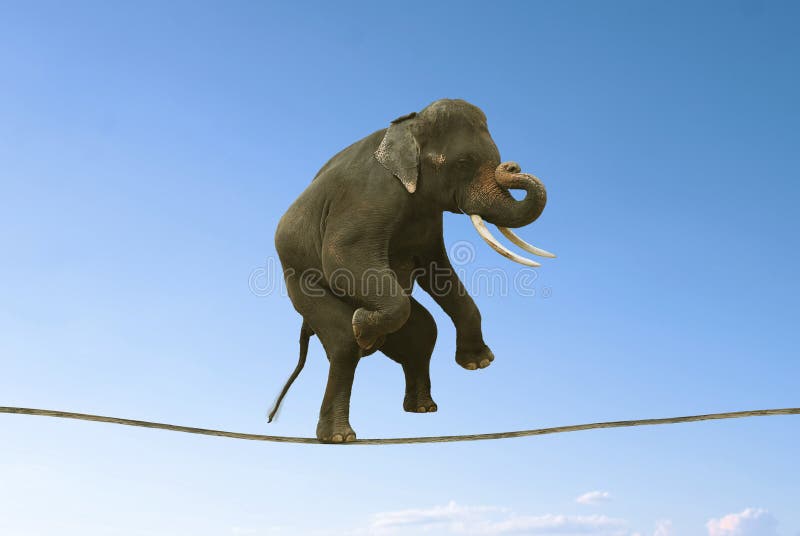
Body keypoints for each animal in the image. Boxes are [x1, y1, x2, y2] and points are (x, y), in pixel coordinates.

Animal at [269, 99, 554, 442]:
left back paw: (422, 408)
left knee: (424, 330)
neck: (409, 128)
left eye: (499, 162)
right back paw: (340, 433)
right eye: (463, 163)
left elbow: (437, 269)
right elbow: (341, 257)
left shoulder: (428, 215)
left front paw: (479, 363)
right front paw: (363, 327)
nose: (512, 167)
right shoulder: (369, 197)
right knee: (343, 343)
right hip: (299, 282)